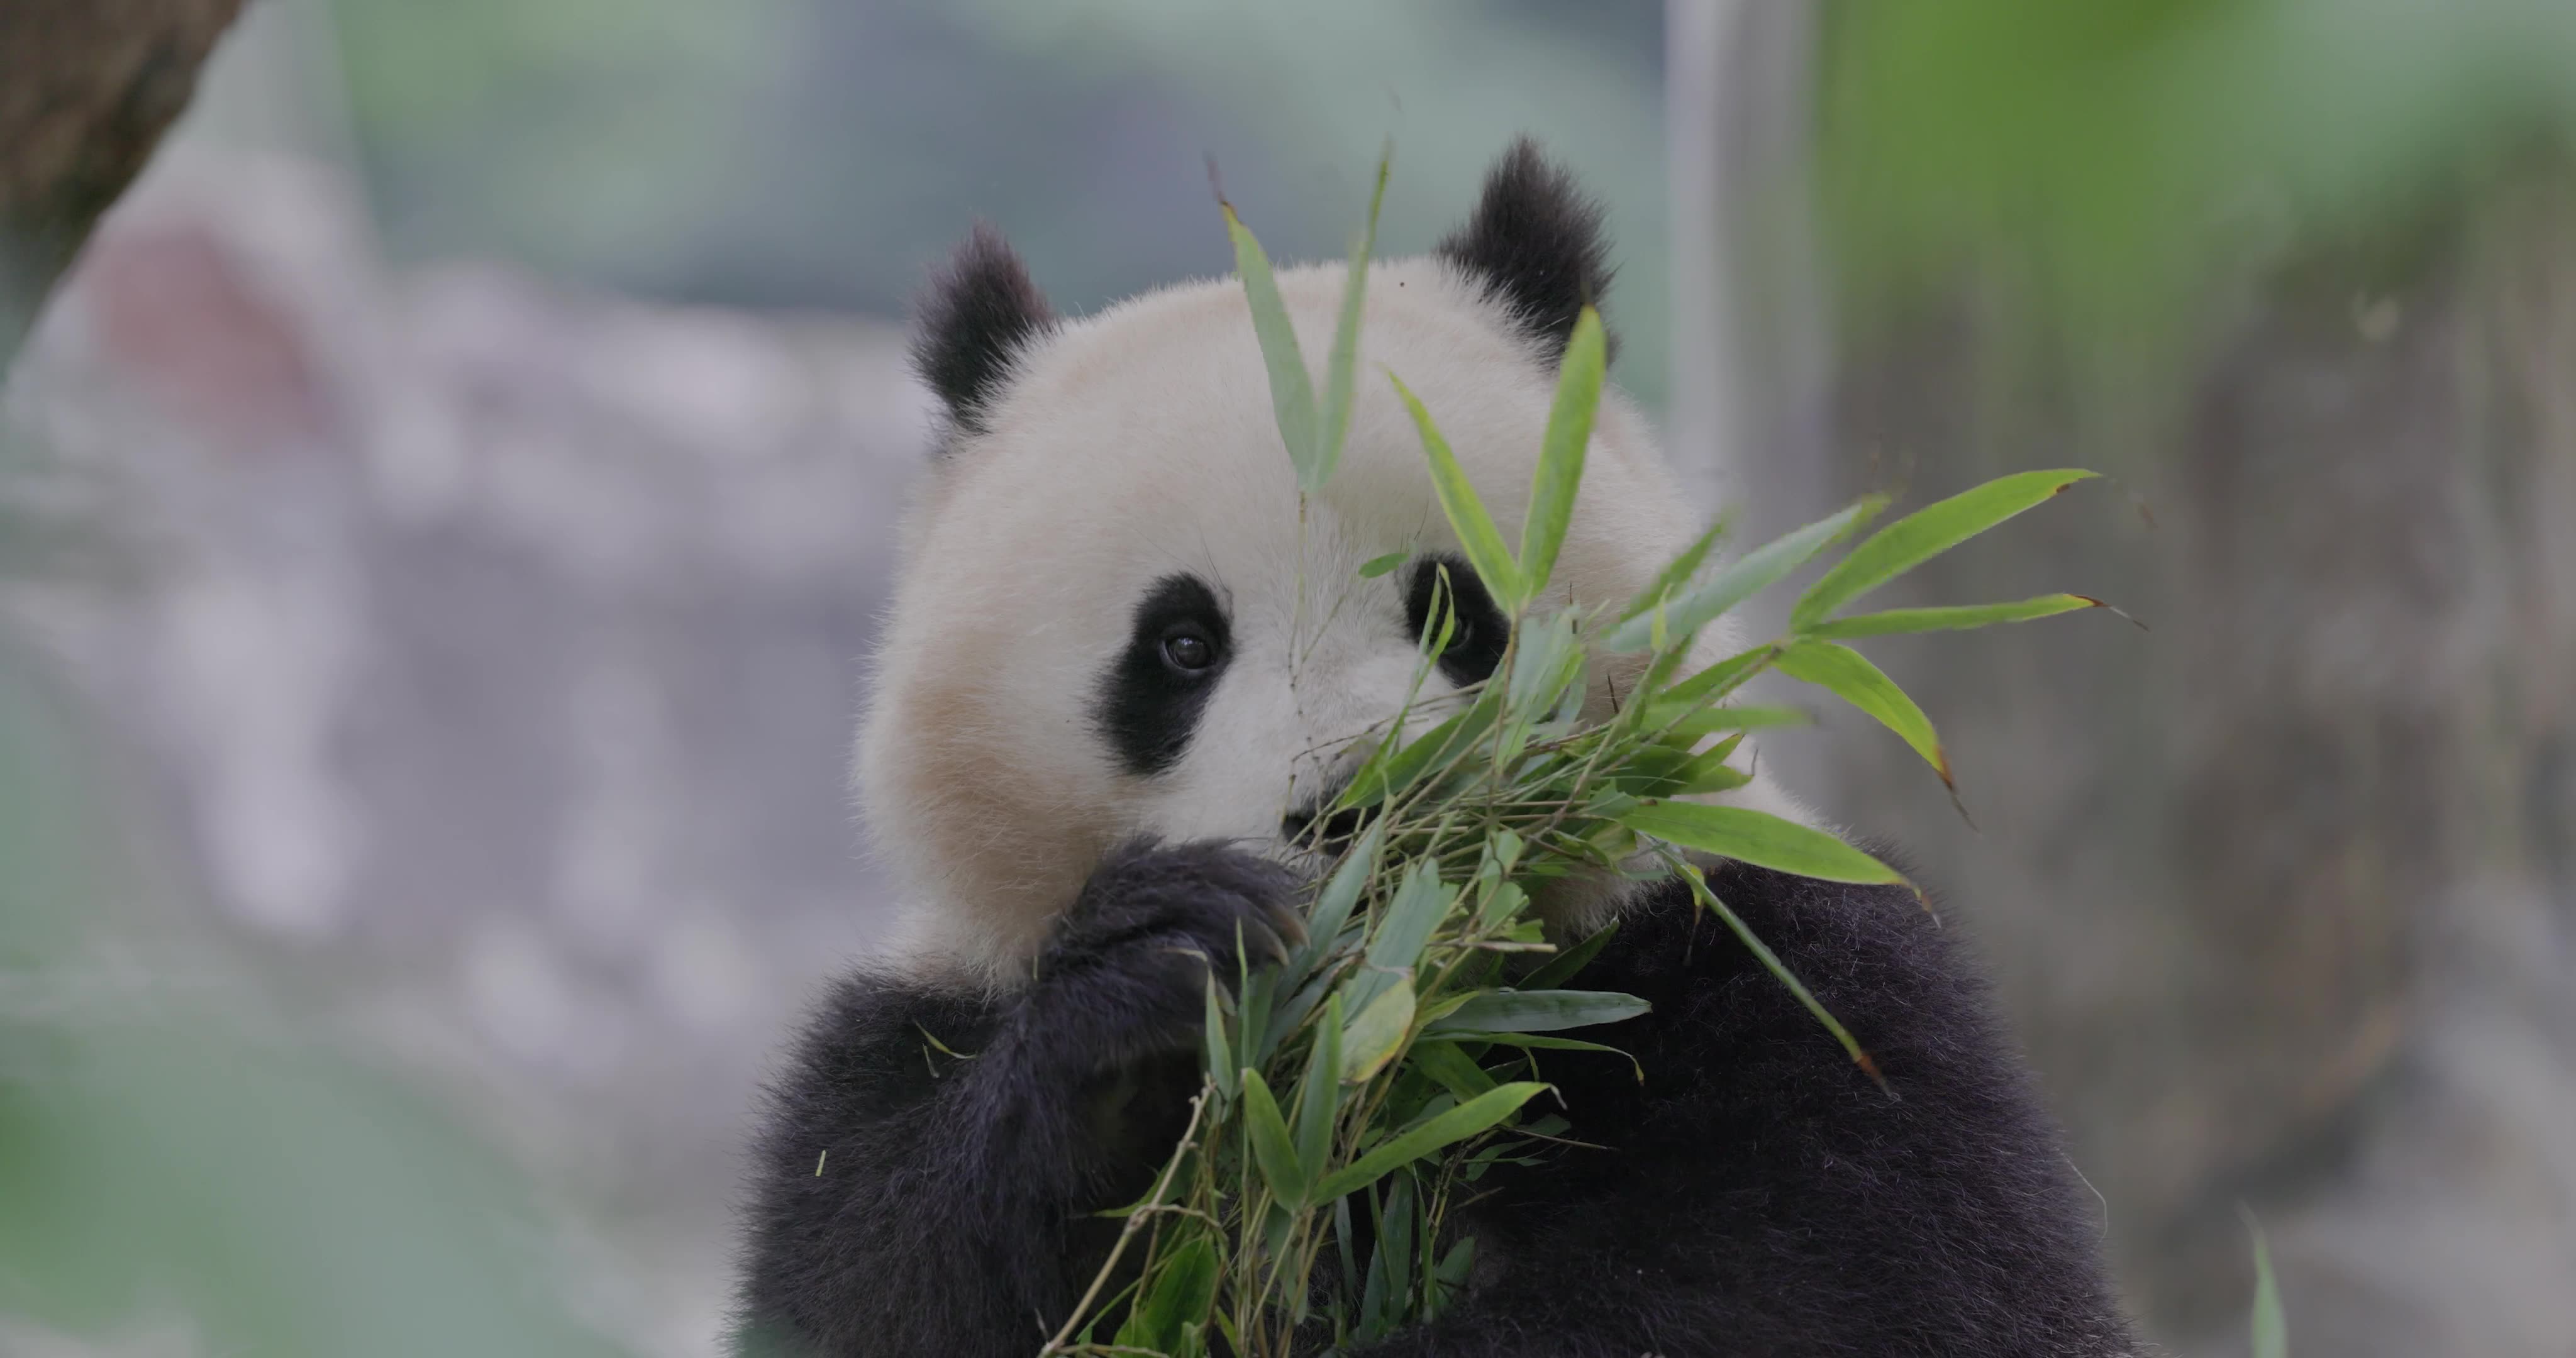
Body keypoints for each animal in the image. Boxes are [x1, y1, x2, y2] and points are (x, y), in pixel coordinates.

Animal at [731, 140, 2136, 1358]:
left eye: (1454, 609)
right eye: (1180, 645)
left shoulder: (1779, 967)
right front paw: (1157, 981)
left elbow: (1816, 1277)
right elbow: (878, 1277)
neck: (1380, 1044)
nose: (1360, 808)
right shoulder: (918, 1030)